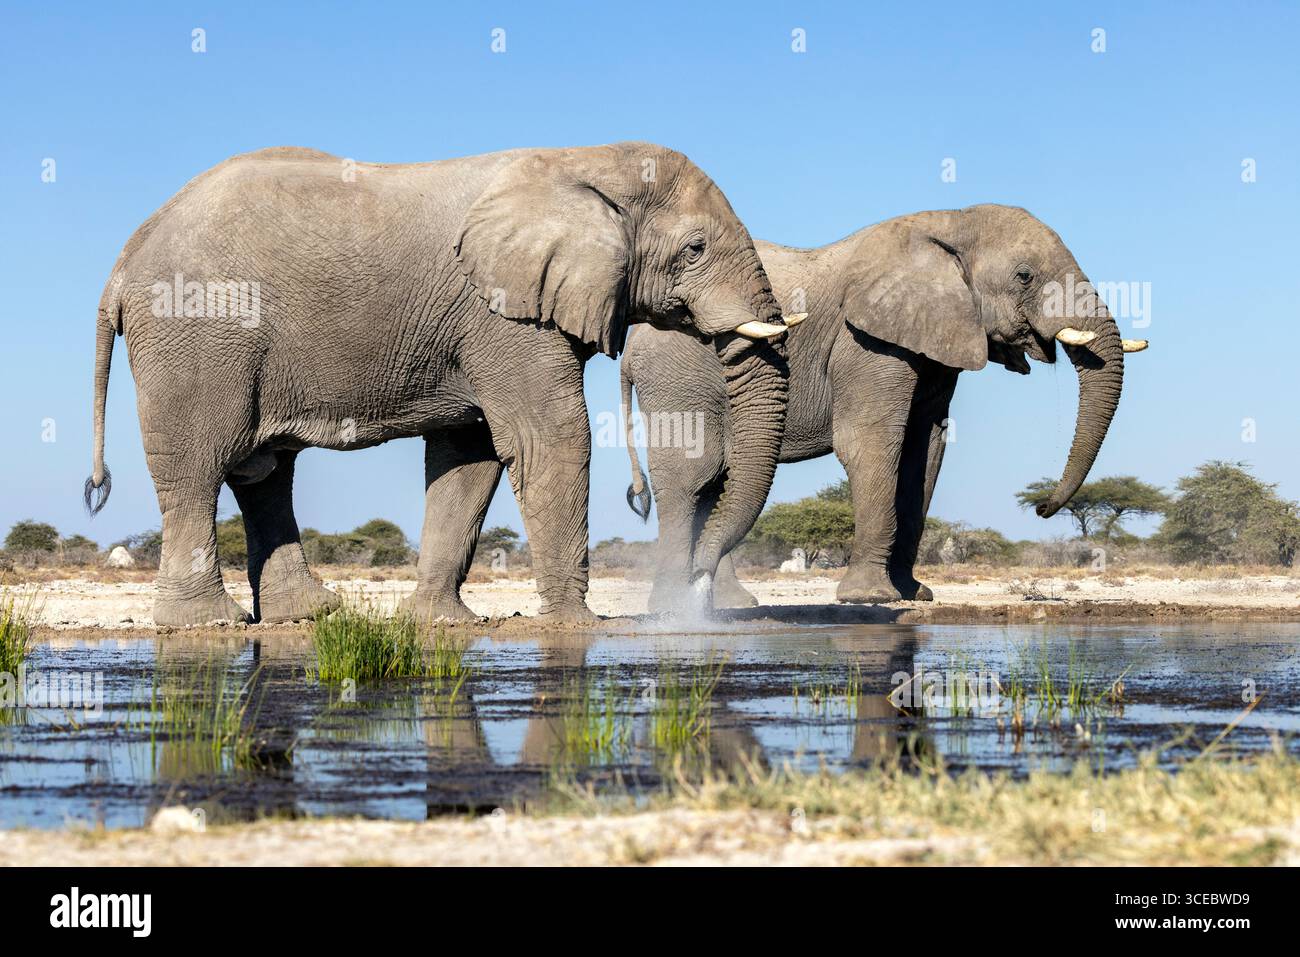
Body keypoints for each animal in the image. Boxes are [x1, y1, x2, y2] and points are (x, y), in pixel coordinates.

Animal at [86, 143, 795, 626]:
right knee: (200, 465)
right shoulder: (501, 311)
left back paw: (310, 614)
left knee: (264, 472)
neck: (584, 160)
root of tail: (122, 262)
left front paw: (442, 623)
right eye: (696, 249)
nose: (696, 598)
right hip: (197, 336)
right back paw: (207, 622)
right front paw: (578, 626)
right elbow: (551, 439)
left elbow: (470, 457)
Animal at [620, 204, 1147, 610]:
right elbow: (870, 444)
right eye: (1025, 276)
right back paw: (677, 604)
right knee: (693, 477)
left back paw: (726, 602)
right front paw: (870, 598)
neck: (950, 223)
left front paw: (916, 594)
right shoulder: (867, 342)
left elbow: (925, 451)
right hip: (678, 380)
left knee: (722, 480)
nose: (1039, 507)